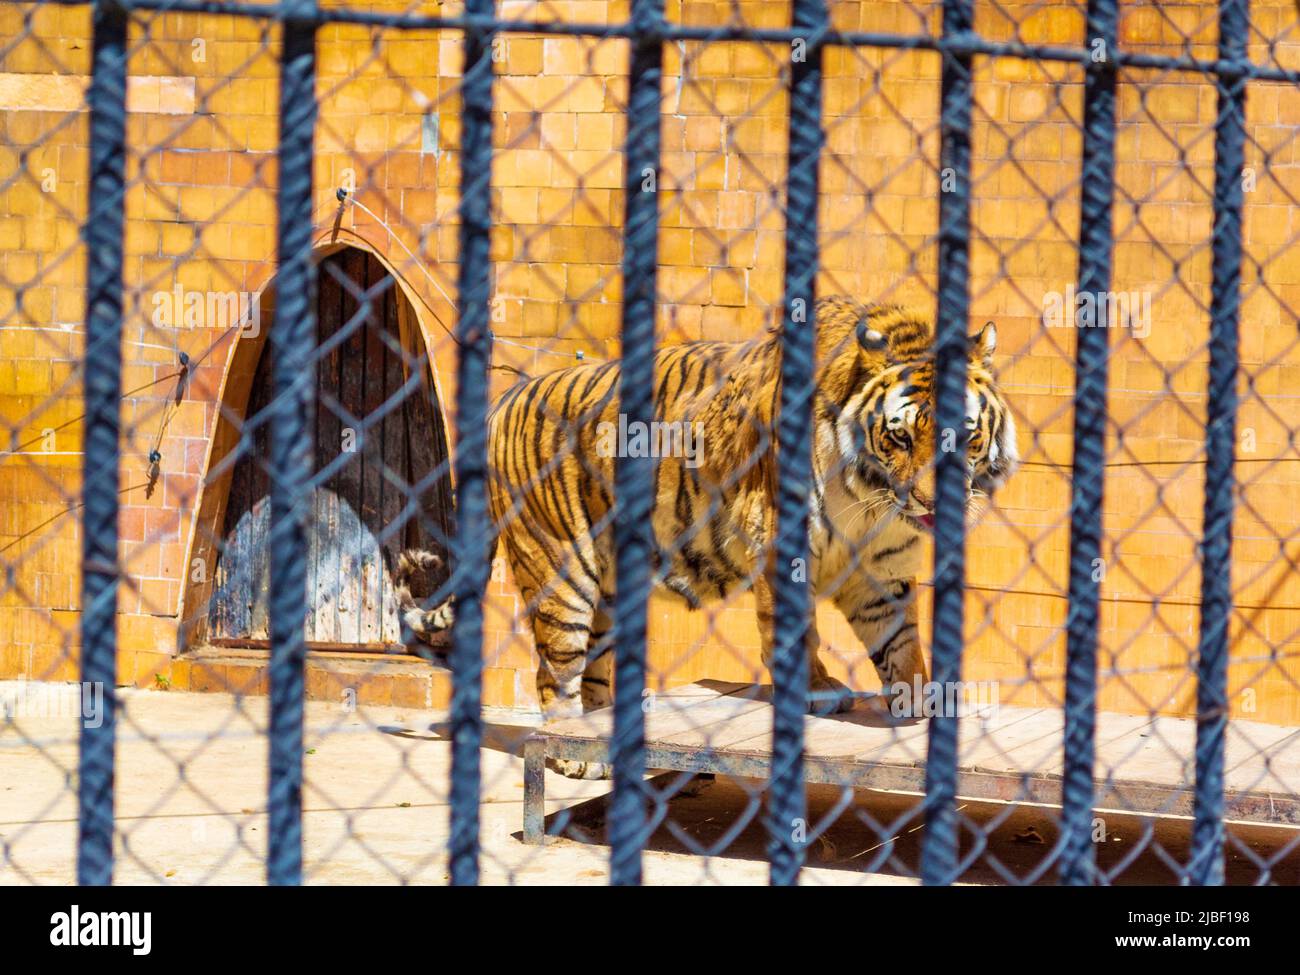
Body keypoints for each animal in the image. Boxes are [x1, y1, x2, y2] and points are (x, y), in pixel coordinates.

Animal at [396, 297, 1018, 778]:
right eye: (900, 437)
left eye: (964, 435)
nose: (936, 503)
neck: (872, 502)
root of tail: (507, 398)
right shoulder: (781, 541)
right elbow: (797, 635)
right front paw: (818, 690)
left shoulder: (880, 569)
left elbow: (902, 643)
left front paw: (921, 702)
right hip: (560, 573)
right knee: (553, 672)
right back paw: (571, 753)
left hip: (608, 589)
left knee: (594, 670)